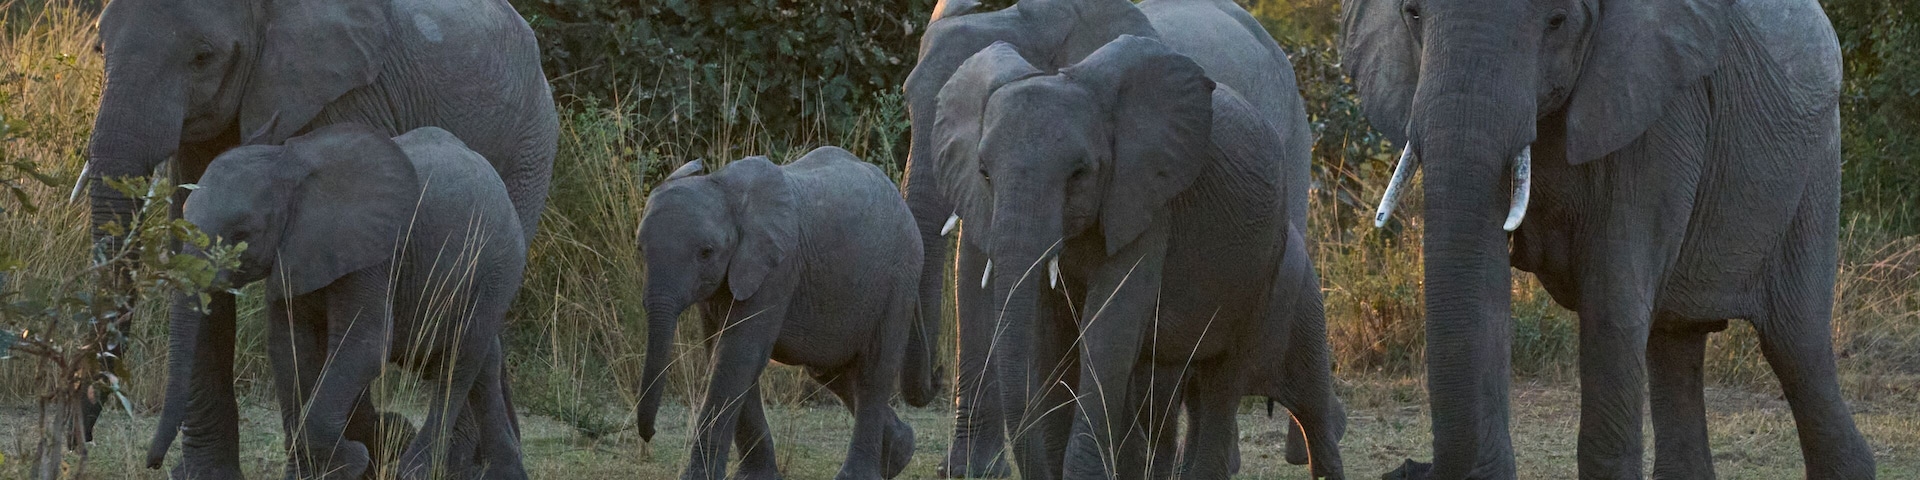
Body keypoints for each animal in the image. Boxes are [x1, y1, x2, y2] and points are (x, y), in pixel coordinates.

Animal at [153, 125, 530, 479]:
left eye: (243, 233)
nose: (152, 463)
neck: (289, 163)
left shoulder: (375, 255)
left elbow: (366, 344)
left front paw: (353, 461)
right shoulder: (295, 252)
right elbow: (289, 348)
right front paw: (318, 472)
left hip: (497, 265)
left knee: (459, 359)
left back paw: (414, 469)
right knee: (484, 360)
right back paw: (506, 473)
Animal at [632, 148, 933, 480]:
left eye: (706, 252)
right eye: (640, 250)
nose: (649, 434)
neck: (725, 189)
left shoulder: (777, 268)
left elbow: (739, 355)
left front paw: (699, 477)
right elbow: (726, 354)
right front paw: (754, 476)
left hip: (900, 276)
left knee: (874, 370)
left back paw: (861, 473)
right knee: (830, 369)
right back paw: (899, 456)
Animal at [900, 1, 1314, 475]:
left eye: (1079, 172)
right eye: (908, 101)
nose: (932, 379)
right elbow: (973, 275)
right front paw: (970, 471)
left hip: (1293, 142)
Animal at [1340, 0, 1872, 477]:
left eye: (1556, 21)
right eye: (1412, 15)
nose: (1413, 468)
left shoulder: (1659, 110)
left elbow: (1612, 305)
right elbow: (1485, 285)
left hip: (1815, 170)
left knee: (1796, 345)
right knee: (1675, 339)